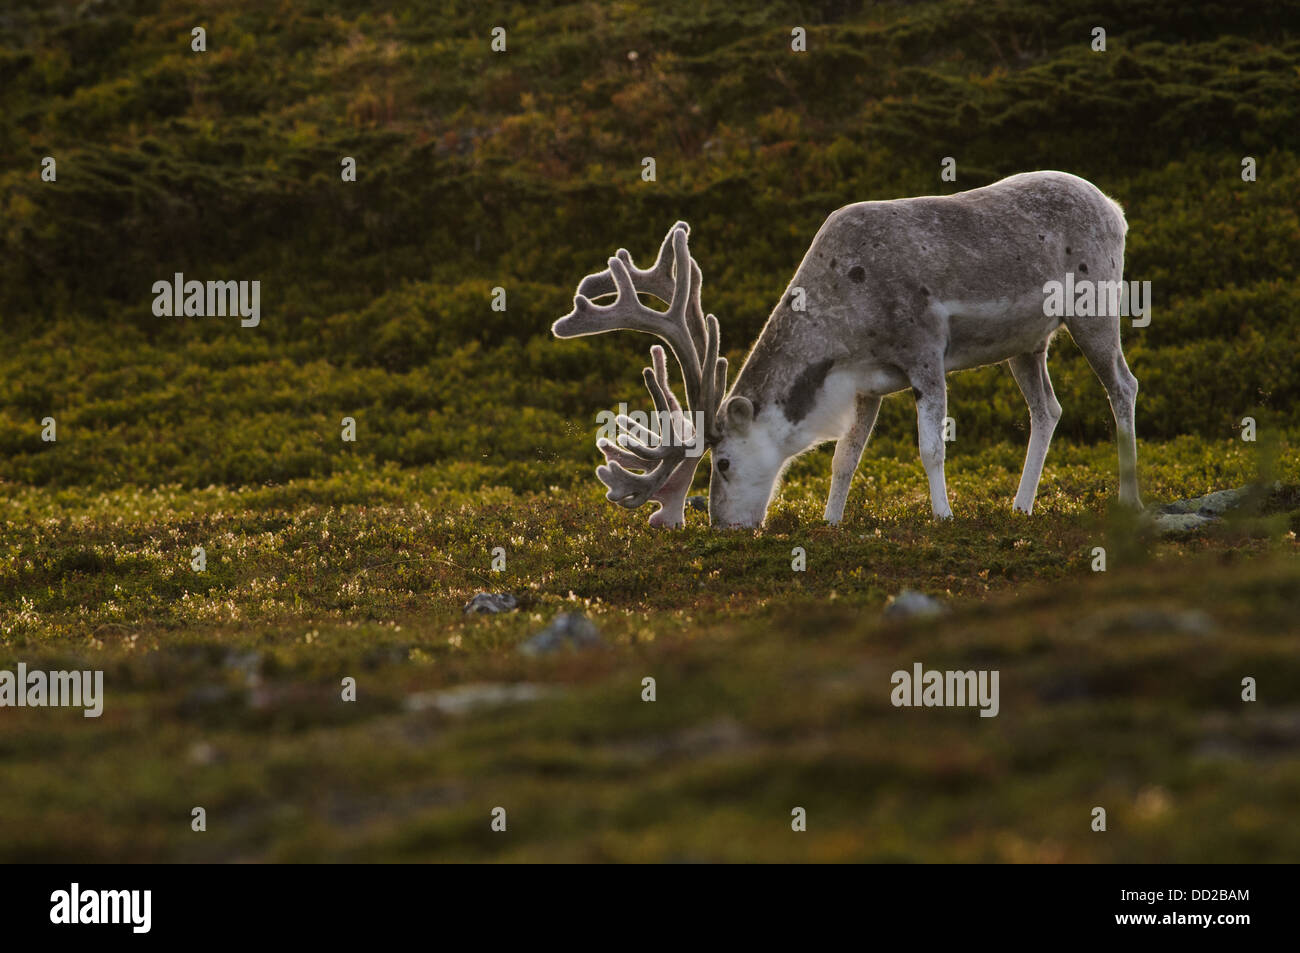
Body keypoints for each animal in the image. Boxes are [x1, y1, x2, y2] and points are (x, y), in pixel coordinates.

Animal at [552, 171, 1141, 529]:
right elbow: (844, 458)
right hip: (1027, 343)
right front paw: (831, 522)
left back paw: (1129, 499)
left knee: (1123, 385)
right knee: (1048, 409)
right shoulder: (867, 384)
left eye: (721, 462)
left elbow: (930, 447)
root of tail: (1116, 209)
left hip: (1095, 306)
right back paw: (1020, 506)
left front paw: (943, 517)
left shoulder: (924, 349)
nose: (723, 525)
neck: (844, 330)